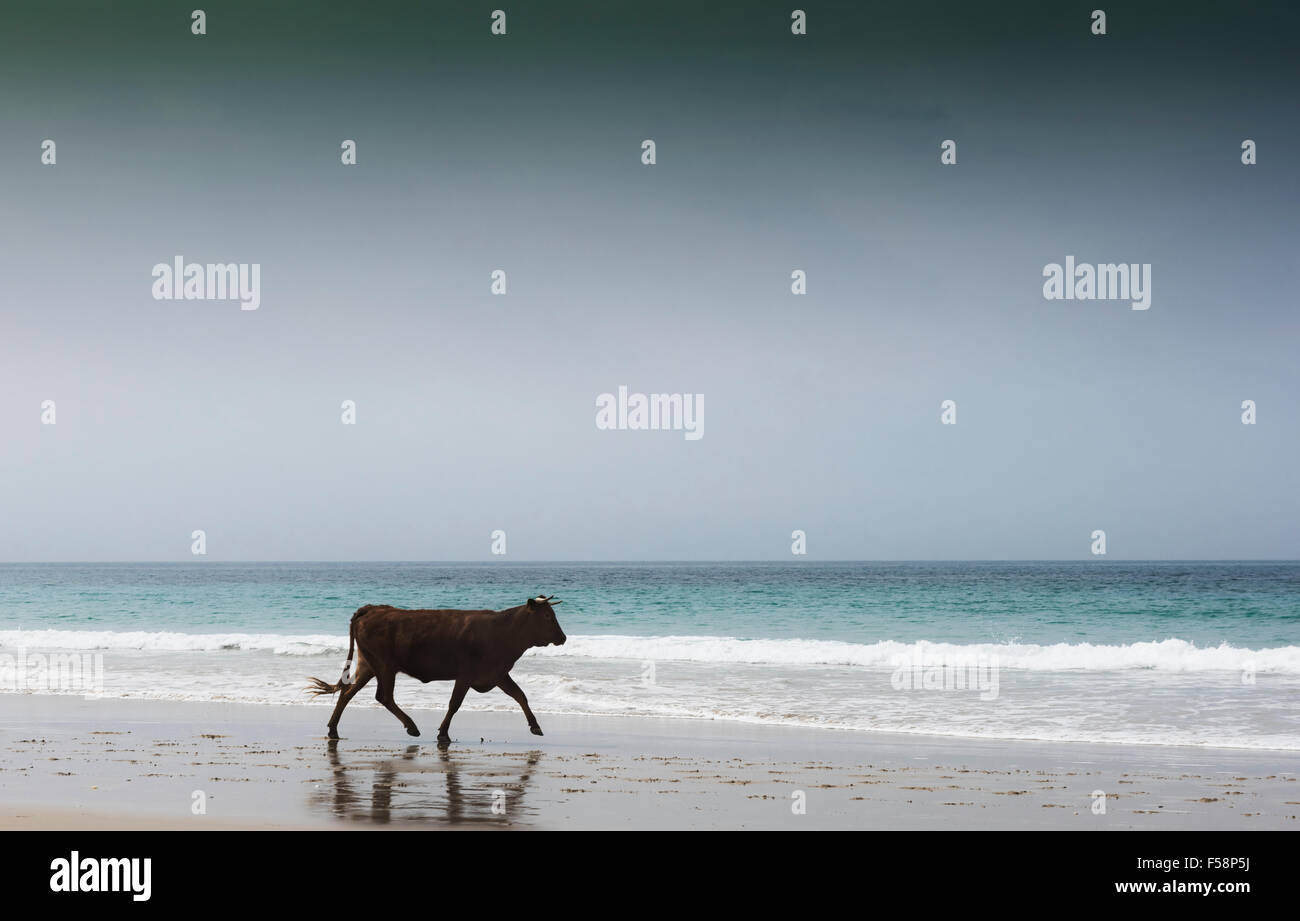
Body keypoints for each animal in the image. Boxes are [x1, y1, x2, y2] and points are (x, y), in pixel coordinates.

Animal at [305, 595, 567, 743]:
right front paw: (443, 734)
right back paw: (411, 726)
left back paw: (333, 730)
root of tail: (373, 608)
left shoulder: (497, 673)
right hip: (384, 665)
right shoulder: (466, 675)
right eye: (547, 616)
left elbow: (520, 695)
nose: (563, 638)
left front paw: (535, 726)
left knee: (348, 693)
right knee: (383, 696)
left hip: (368, 665)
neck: (503, 631)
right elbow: (454, 704)